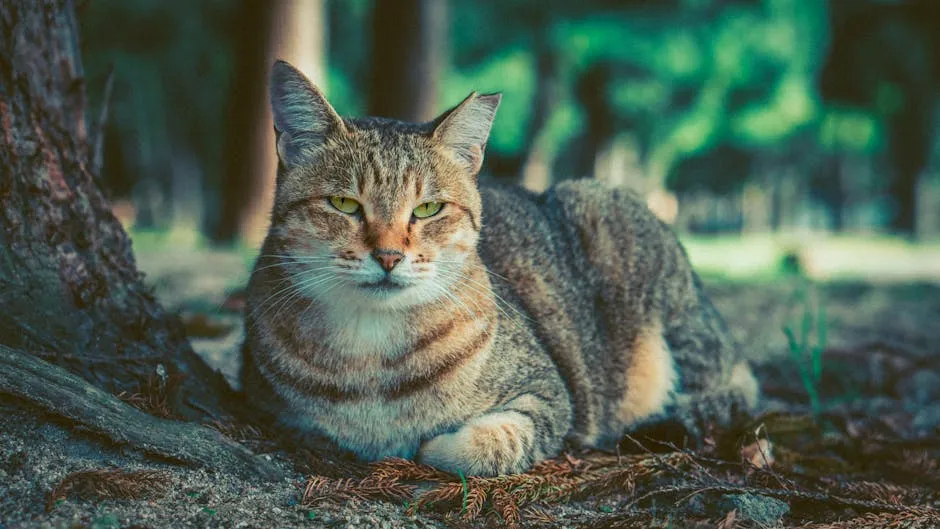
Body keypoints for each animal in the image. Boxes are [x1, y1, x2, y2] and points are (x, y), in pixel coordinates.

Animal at [239, 59, 760, 476]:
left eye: (428, 209)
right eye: (344, 204)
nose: (388, 256)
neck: (371, 357)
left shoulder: (550, 396)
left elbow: (484, 443)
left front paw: (428, 444)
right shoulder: (270, 409)